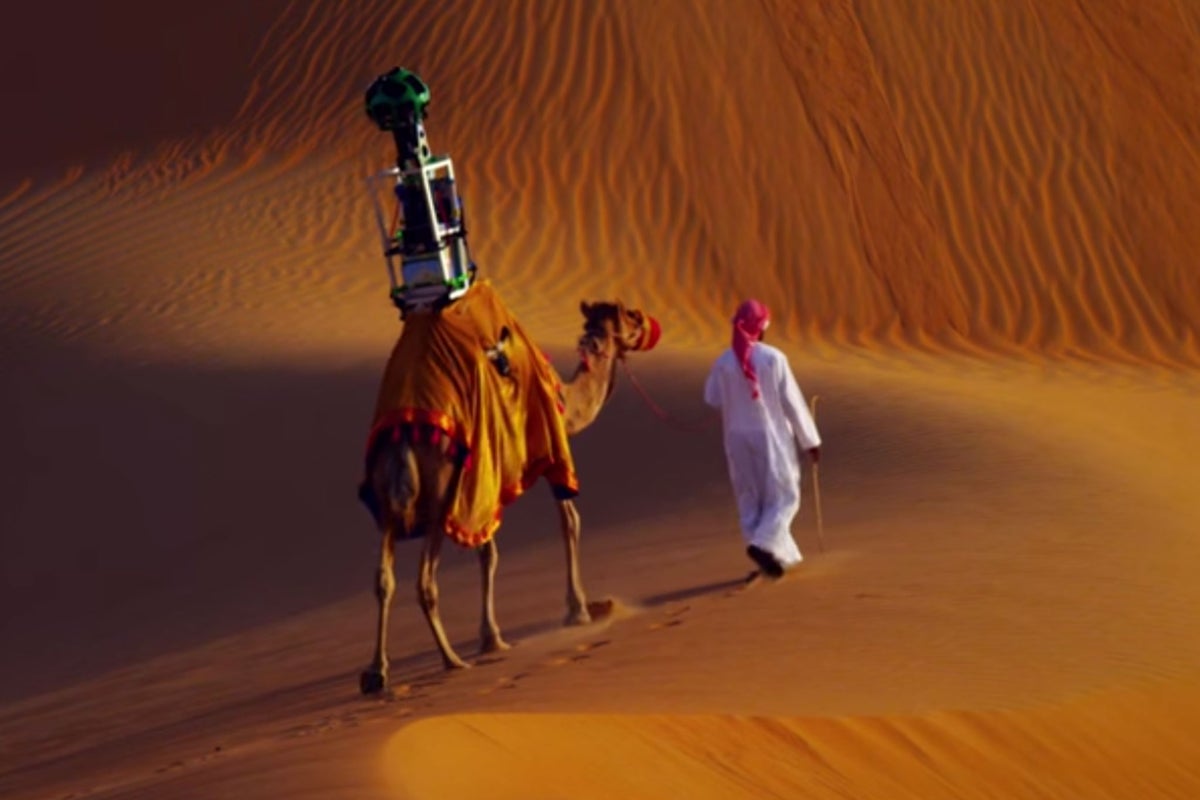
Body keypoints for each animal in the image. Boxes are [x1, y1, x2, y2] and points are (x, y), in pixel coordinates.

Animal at [359, 299, 659, 694]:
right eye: (630, 316)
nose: (650, 324)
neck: (564, 399)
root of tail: (405, 437)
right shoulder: (549, 453)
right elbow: (569, 522)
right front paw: (577, 611)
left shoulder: (487, 487)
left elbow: (488, 554)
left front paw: (492, 637)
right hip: (441, 497)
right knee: (425, 582)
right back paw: (452, 660)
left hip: (387, 502)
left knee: (383, 579)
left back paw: (376, 672)